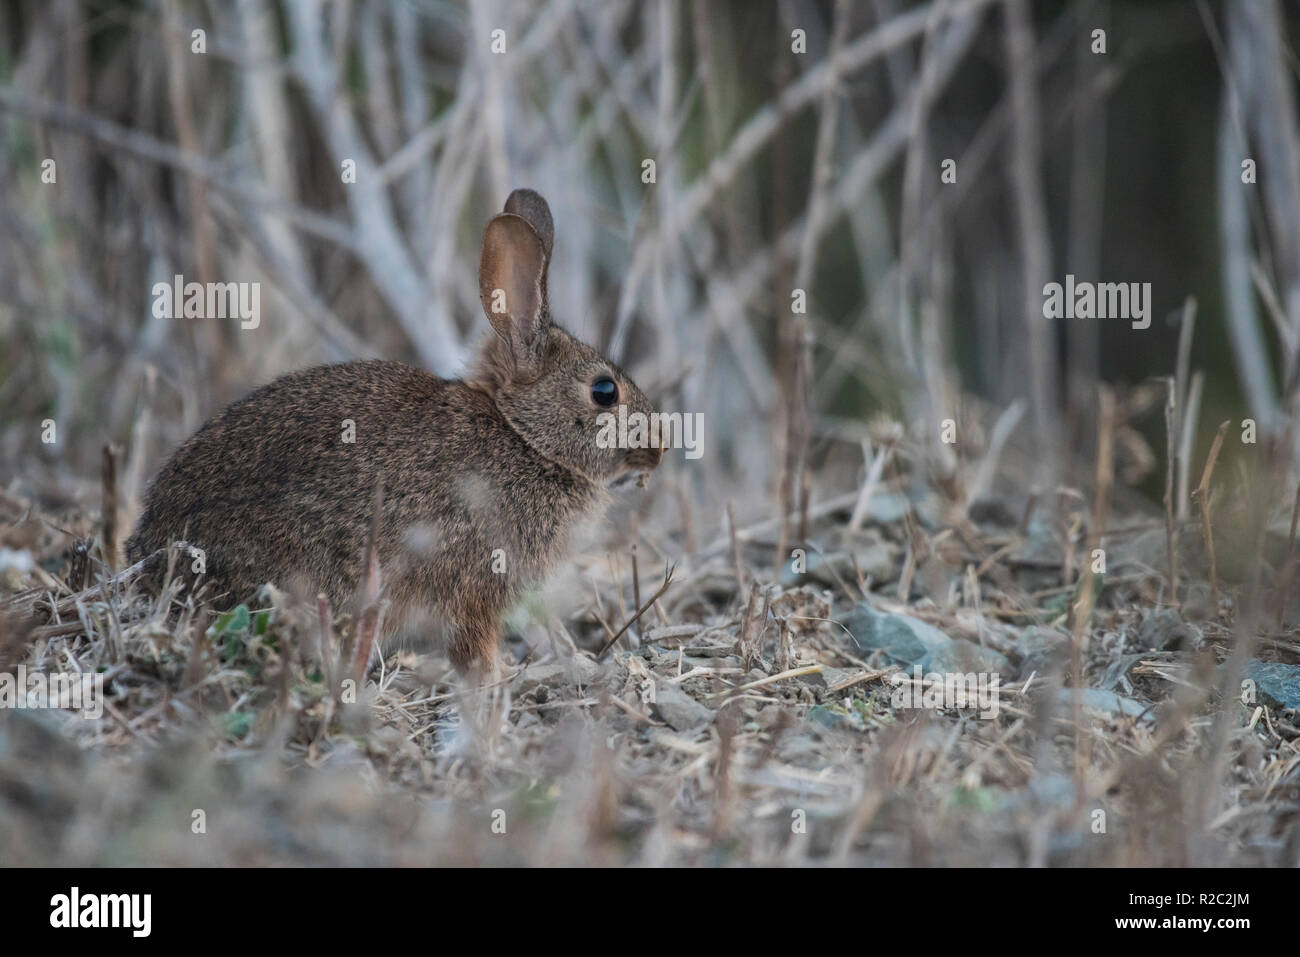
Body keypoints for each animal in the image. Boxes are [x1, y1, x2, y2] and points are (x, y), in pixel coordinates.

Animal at [126, 189, 663, 679]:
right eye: (604, 391)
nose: (656, 453)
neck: (523, 436)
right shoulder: (474, 587)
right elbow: (474, 645)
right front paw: (497, 681)